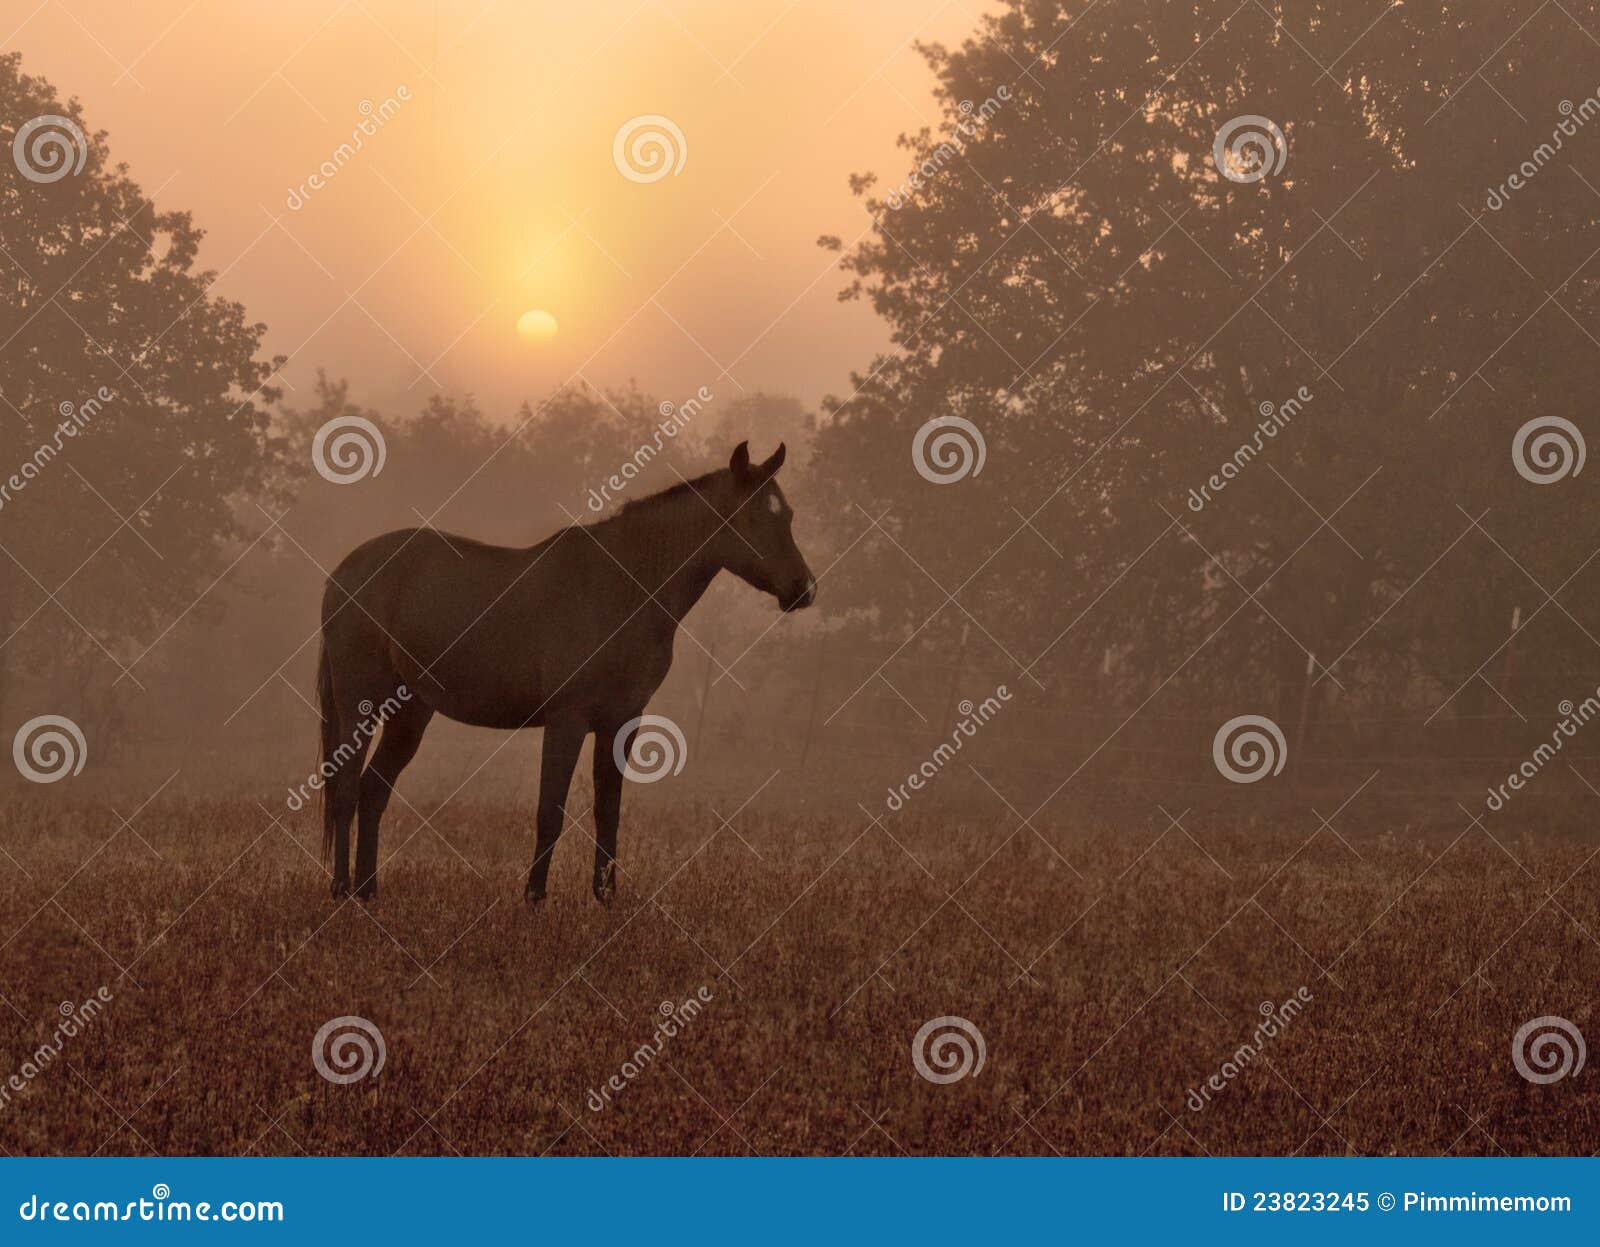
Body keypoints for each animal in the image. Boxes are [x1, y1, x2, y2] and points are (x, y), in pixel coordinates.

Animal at [314, 441, 815, 905]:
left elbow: (608, 811)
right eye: (752, 517)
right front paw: (534, 897)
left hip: (411, 713)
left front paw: (606, 899)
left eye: (788, 515)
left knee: (372, 792)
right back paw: (341, 890)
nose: (803, 589)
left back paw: (368, 892)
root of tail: (343, 574)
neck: (623, 587)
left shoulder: (621, 721)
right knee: (345, 791)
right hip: (360, 704)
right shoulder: (567, 721)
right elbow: (549, 811)